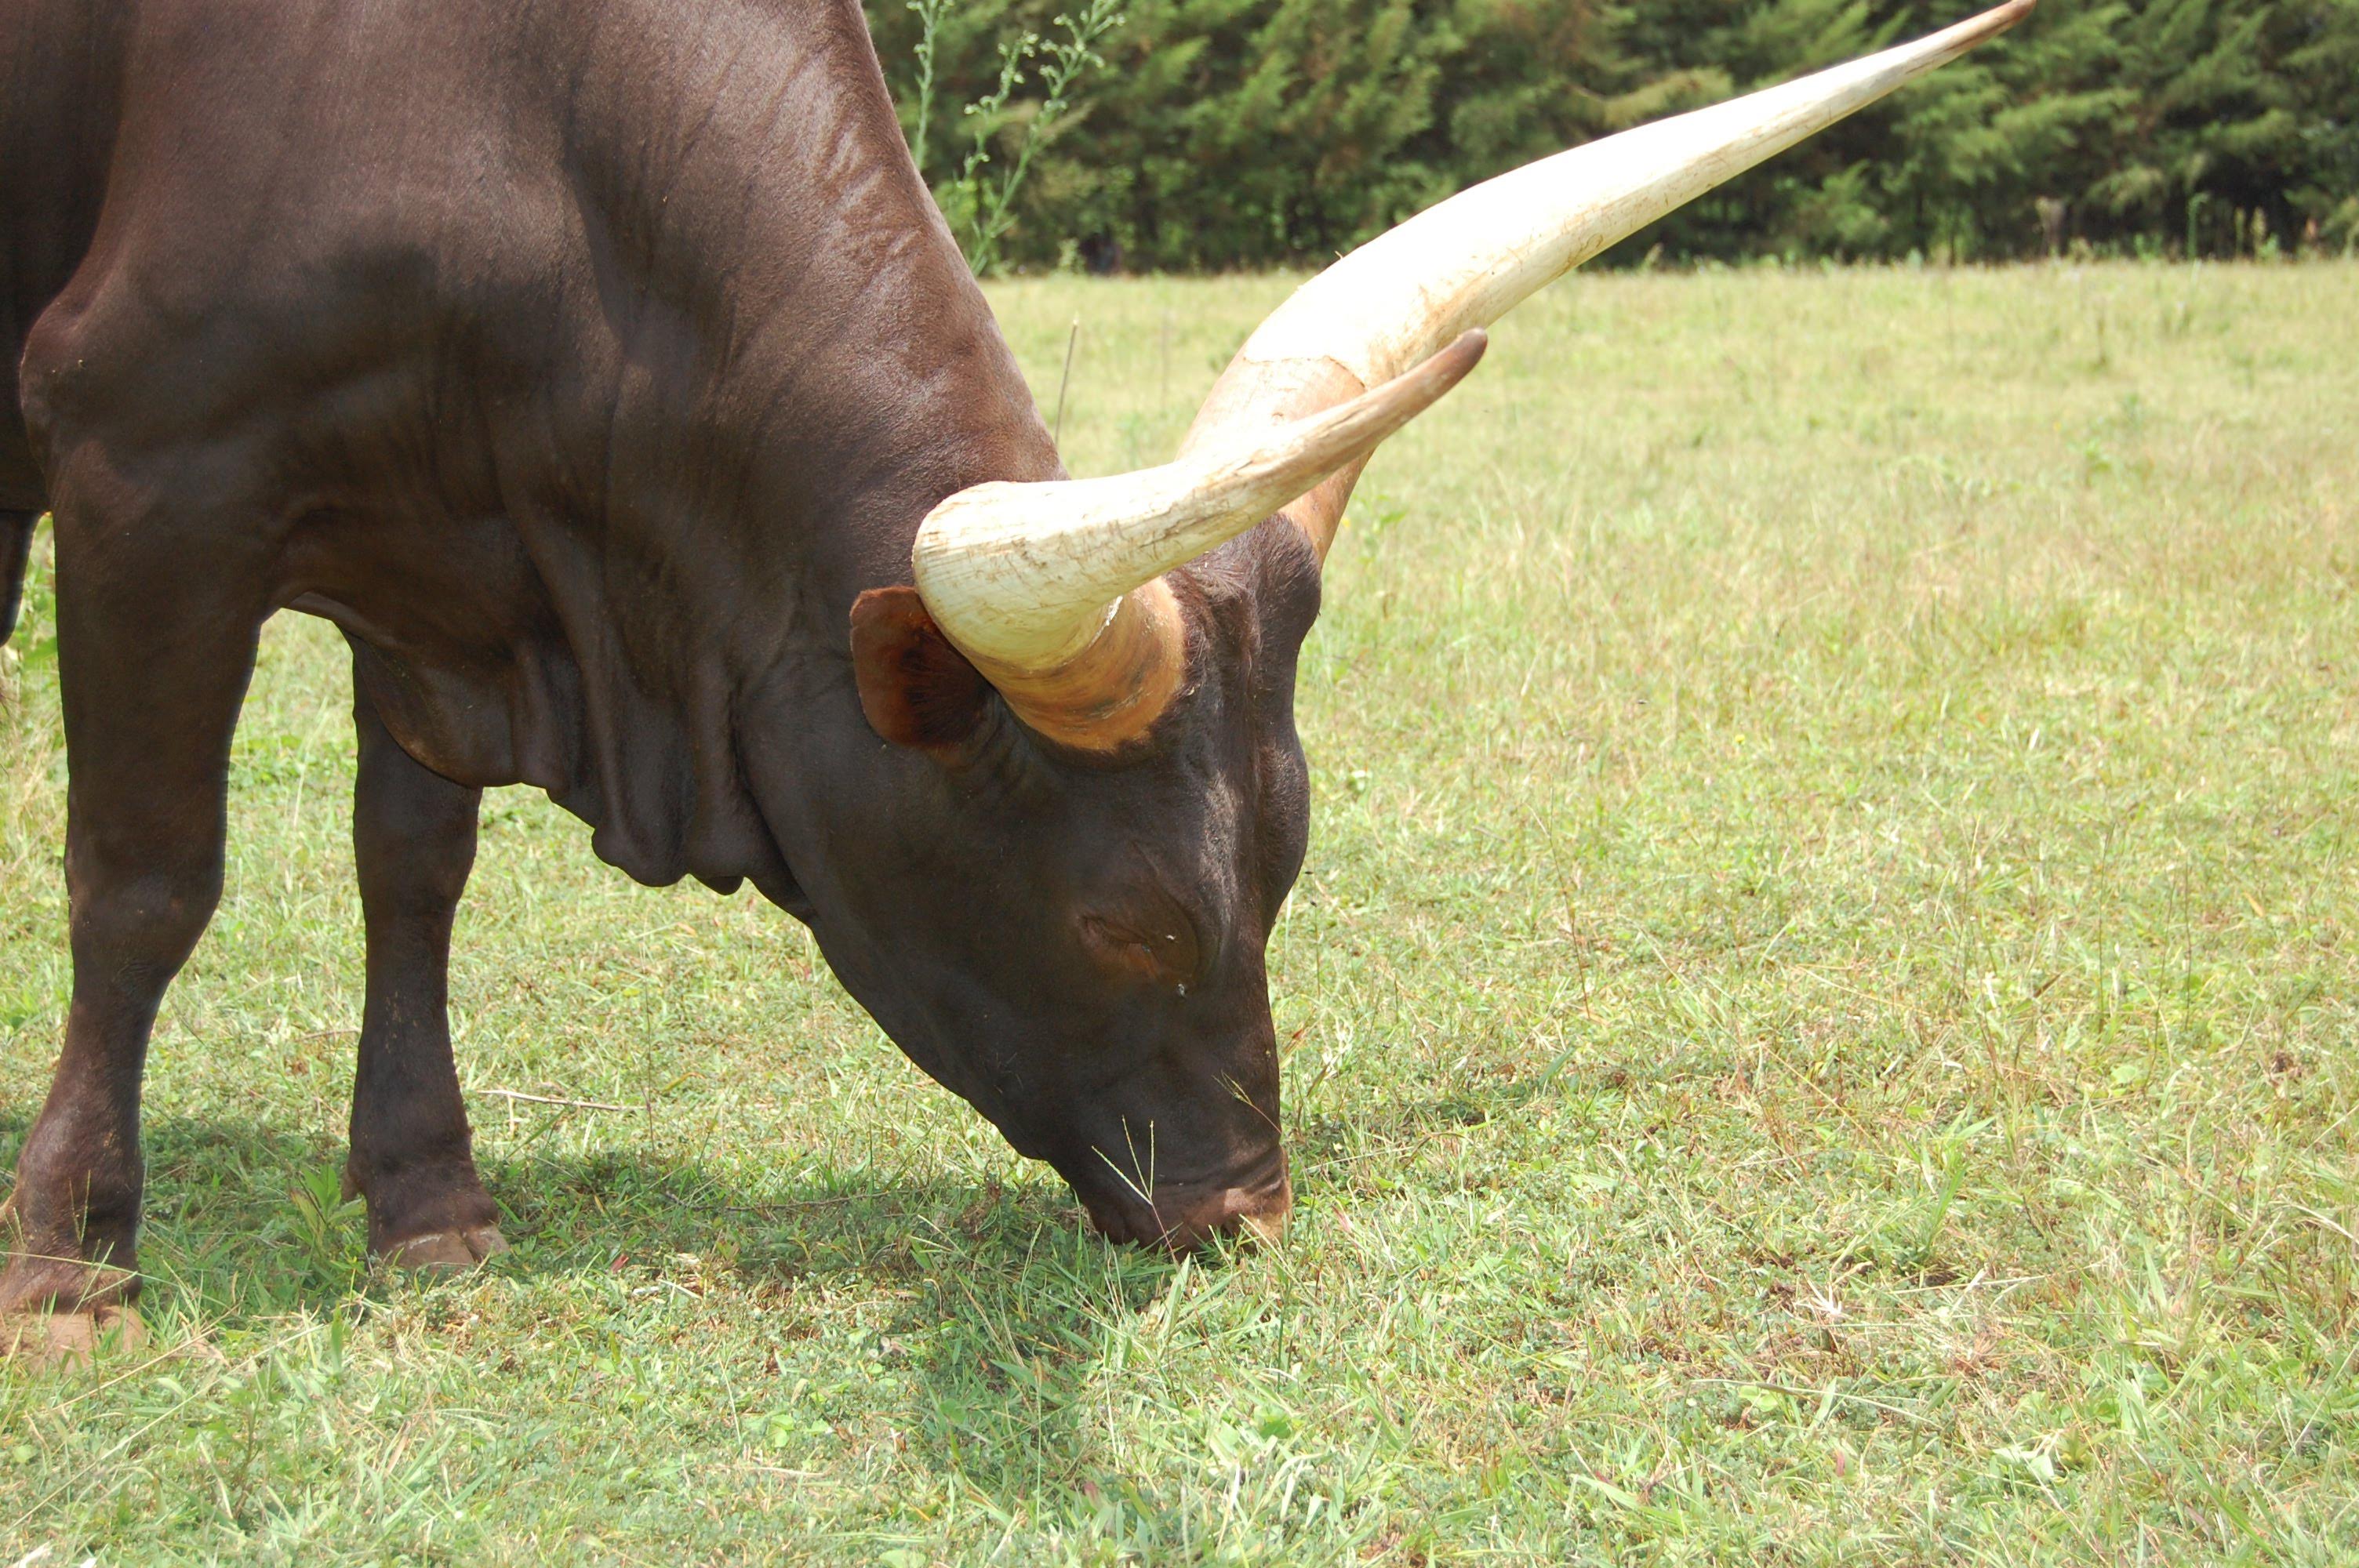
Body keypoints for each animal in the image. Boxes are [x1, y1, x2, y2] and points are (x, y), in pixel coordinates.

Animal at [0, 0, 2032, 1348]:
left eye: (1280, 879)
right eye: (1130, 920)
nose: (1241, 1215)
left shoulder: (444, 556)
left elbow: (410, 863)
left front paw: (425, 1200)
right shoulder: (154, 465)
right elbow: (146, 880)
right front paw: (68, 1257)